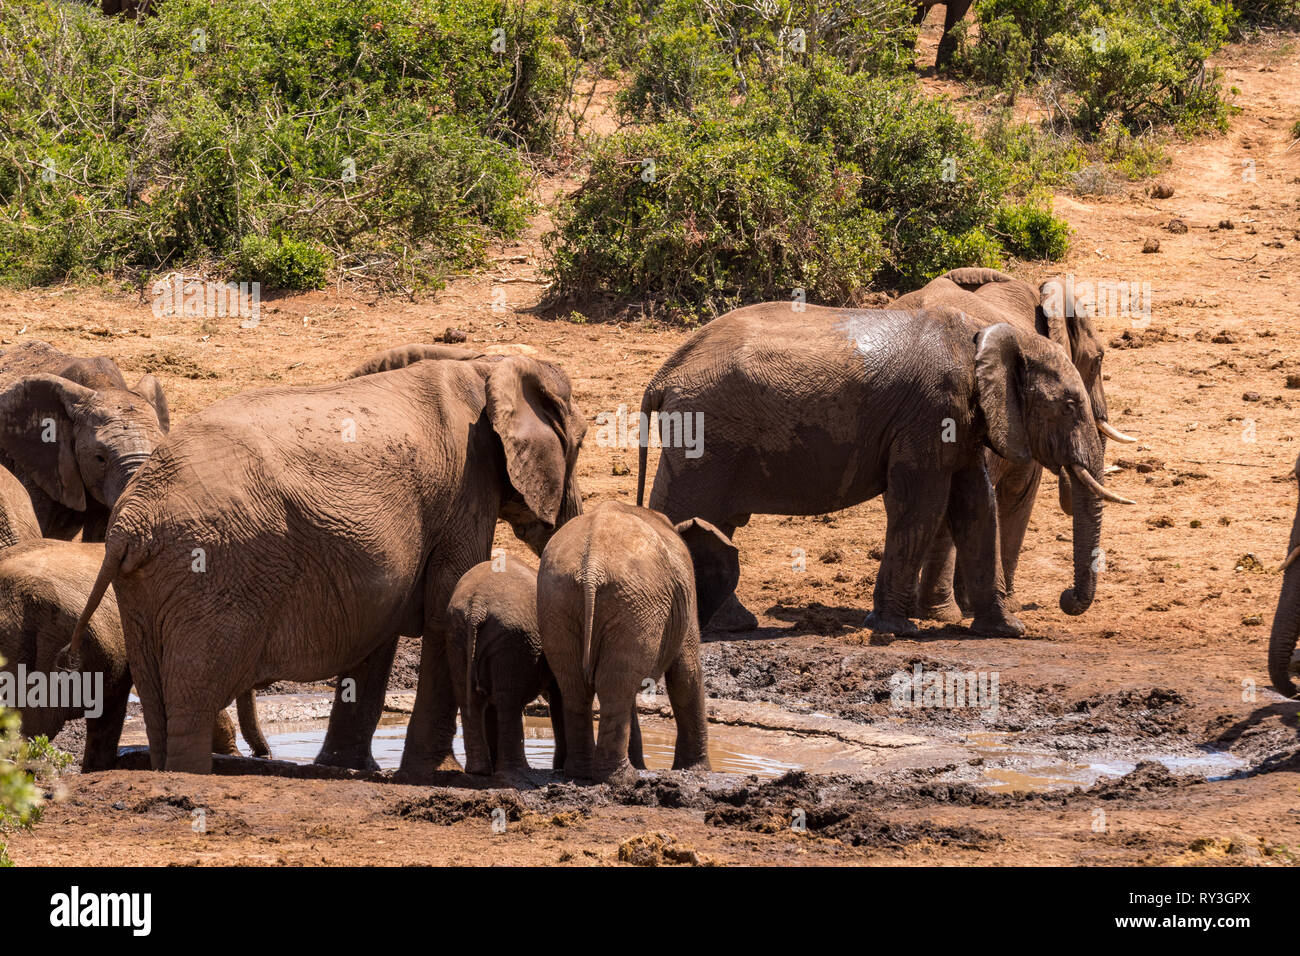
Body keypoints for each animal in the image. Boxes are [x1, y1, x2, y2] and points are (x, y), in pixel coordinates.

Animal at [445, 555, 563, 776]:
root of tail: (476, 606)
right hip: (510, 639)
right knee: (508, 702)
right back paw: (518, 770)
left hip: (459, 636)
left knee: (470, 699)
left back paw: (479, 771)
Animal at [537, 501, 739, 781]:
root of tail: (591, 568)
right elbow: (686, 674)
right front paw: (699, 771)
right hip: (630, 604)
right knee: (614, 685)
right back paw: (621, 778)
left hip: (561, 599)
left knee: (579, 685)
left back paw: (583, 773)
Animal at [637, 307, 1135, 640]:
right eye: (1069, 405)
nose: (1067, 601)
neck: (983, 336)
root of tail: (662, 374)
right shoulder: (930, 412)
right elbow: (922, 505)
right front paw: (897, 628)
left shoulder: (964, 421)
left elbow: (976, 506)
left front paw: (1008, 629)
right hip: (704, 435)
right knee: (688, 510)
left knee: (708, 520)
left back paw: (733, 623)